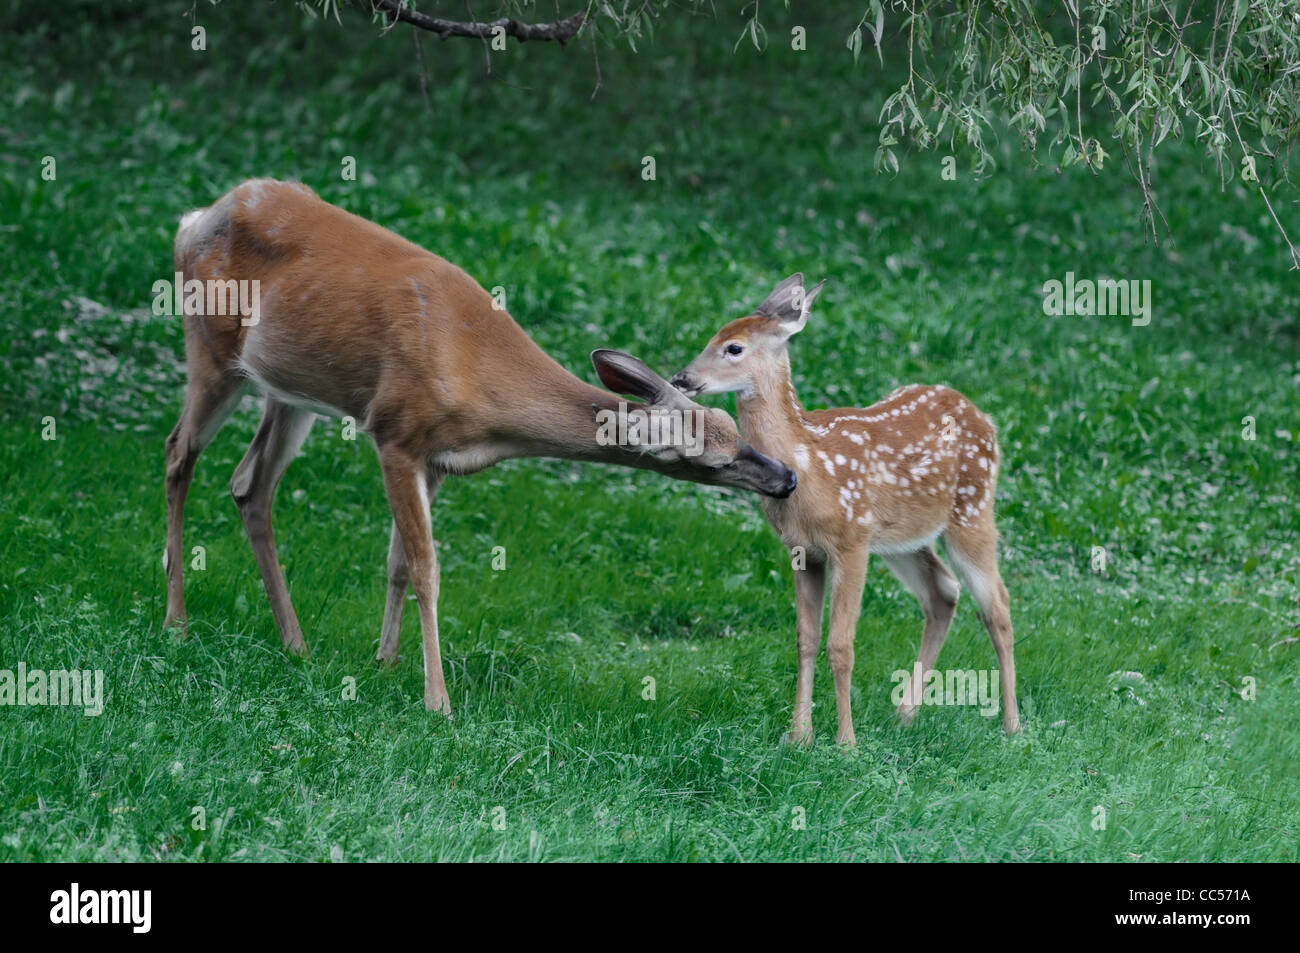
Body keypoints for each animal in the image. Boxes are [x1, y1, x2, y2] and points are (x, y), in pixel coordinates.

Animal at [163, 178, 797, 714]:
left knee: (250, 485)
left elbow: (397, 562)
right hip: (210, 348)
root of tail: (195, 219)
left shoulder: (440, 461)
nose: (786, 478)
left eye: (733, 426)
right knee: (178, 454)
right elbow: (427, 568)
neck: (476, 374)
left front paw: (385, 662)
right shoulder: (395, 432)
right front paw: (437, 700)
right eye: (710, 462)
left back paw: (295, 643)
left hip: (287, 391)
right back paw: (177, 622)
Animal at [670, 274, 1020, 745]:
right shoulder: (803, 550)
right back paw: (904, 714)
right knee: (943, 592)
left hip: (972, 509)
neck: (809, 463)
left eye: (734, 347)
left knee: (997, 606)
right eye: (712, 336)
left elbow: (841, 645)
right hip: (900, 538)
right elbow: (805, 639)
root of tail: (987, 420)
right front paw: (799, 735)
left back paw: (1012, 725)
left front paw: (846, 742)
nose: (682, 377)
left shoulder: (850, 541)